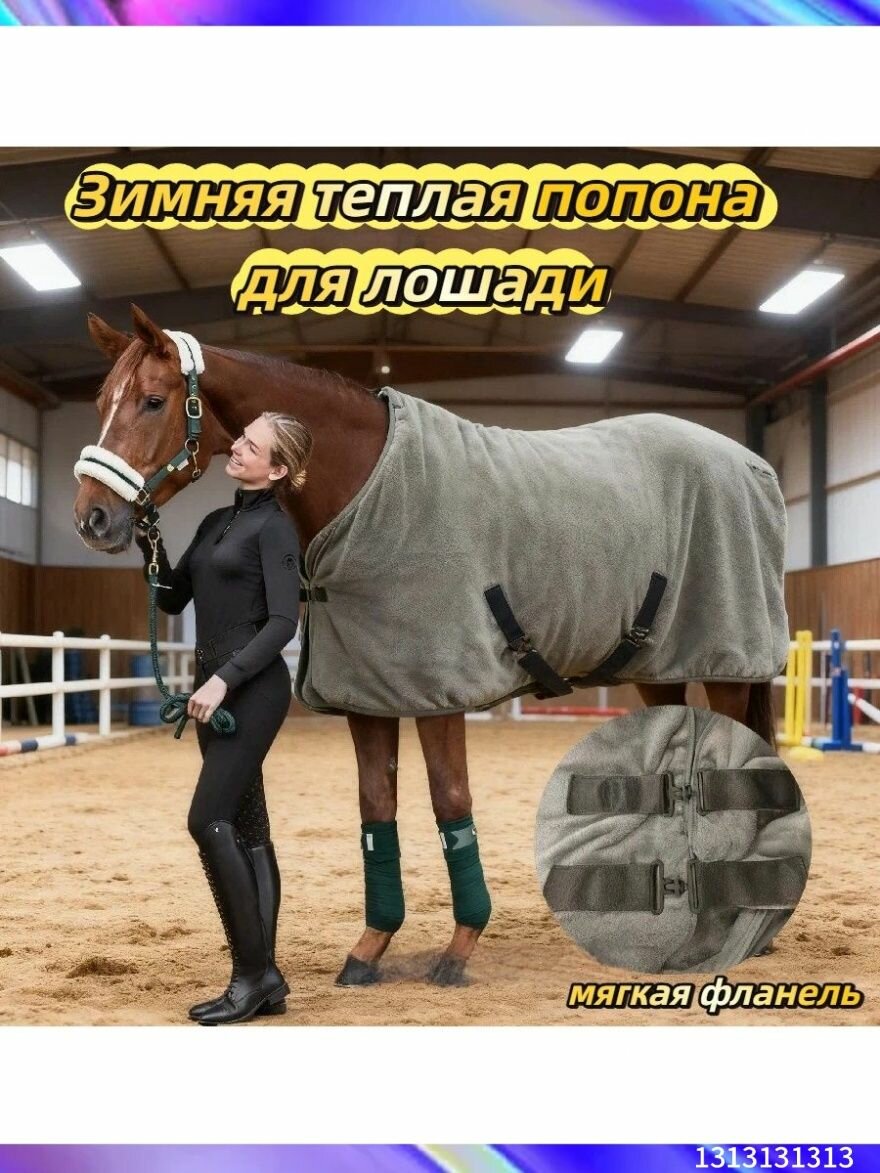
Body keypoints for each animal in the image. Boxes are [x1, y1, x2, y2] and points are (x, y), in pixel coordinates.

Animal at [74, 303, 785, 986]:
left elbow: (451, 804)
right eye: (101, 399)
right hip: (661, 668)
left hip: (727, 663)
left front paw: (460, 946)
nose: (93, 519)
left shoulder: (439, 690)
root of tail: (752, 464)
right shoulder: (367, 693)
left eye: (153, 401)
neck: (368, 486)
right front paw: (371, 947)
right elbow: (376, 809)